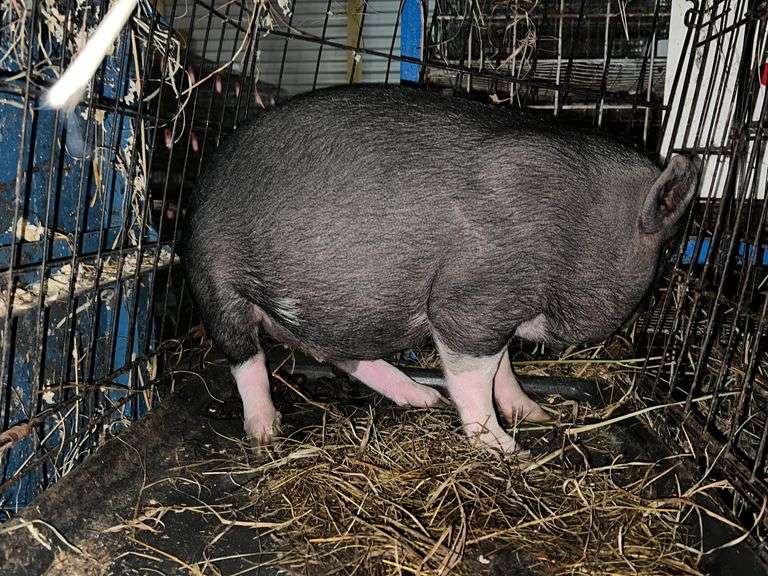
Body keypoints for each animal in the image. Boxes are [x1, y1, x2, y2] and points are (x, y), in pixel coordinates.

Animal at [180, 84, 700, 453]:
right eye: (663, 254)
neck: (578, 222)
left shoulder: (501, 311)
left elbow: (503, 367)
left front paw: (536, 416)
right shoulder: (473, 296)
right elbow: (474, 372)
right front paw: (507, 450)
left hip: (339, 315)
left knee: (340, 355)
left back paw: (422, 398)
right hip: (215, 281)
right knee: (244, 355)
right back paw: (266, 432)